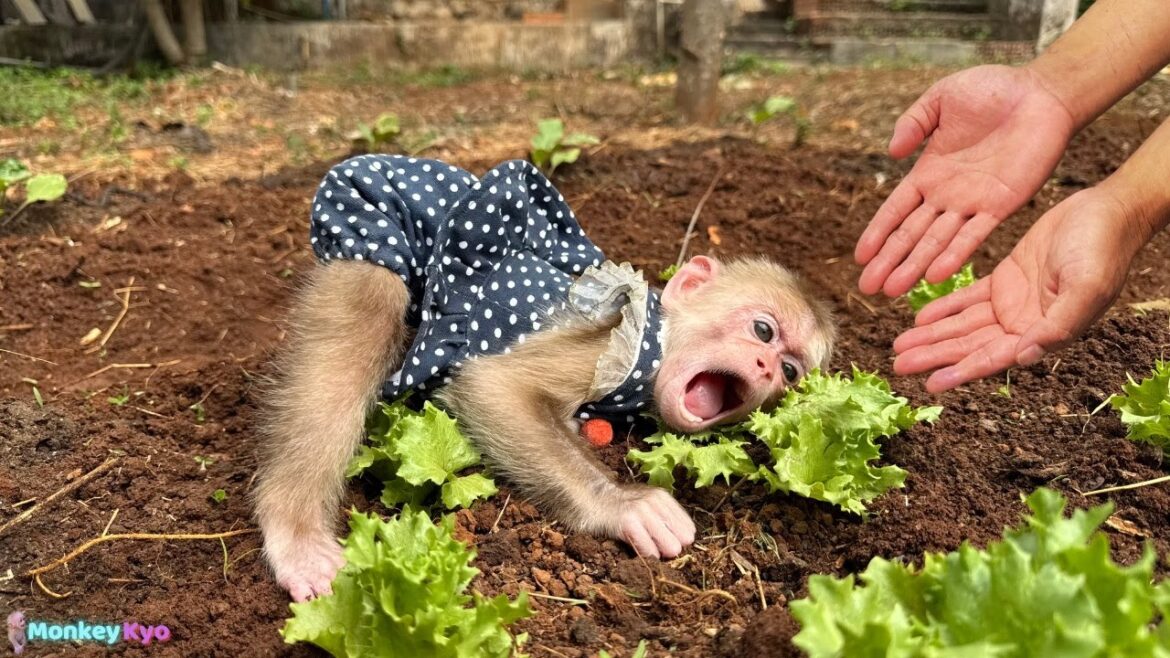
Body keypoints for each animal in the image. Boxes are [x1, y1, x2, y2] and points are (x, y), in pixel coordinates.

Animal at [254, 155, 835, 601]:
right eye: (762, 330)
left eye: (790, 371)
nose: (766, 369)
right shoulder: (604, 346)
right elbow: (492, 386)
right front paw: (624, 505)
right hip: (374, 229)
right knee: (363, 323)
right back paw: (297, 536)